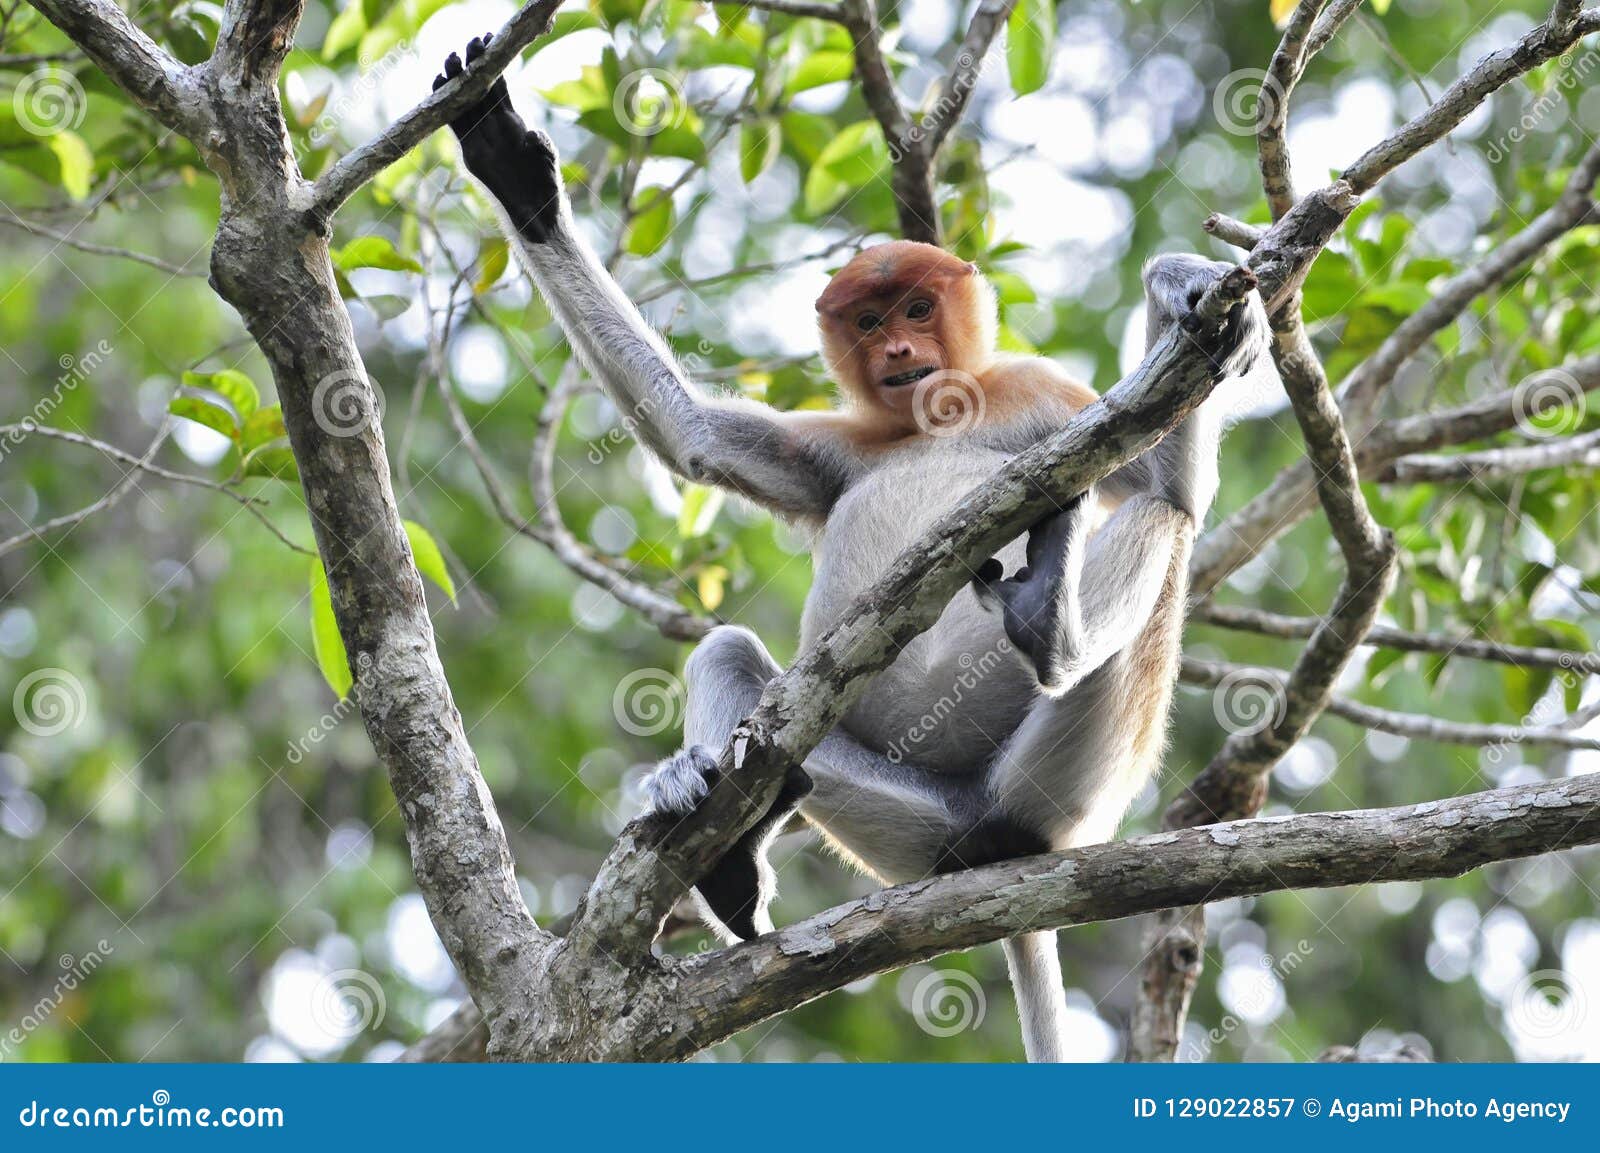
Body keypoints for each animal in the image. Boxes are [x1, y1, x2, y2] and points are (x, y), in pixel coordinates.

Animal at [435, 37, 1274, 1062]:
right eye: (870, 322)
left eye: (916, 307)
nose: (901, 355)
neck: (933, 414)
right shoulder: (845, 450)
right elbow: (696, 439)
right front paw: (513, 171)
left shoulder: (1040, 394)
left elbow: (1171, 492)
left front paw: (1190, 287)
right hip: (905, 821)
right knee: (741, 669)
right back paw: (723, 838)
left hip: (1071, 781)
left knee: (1158, 523)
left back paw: (1051, 628)